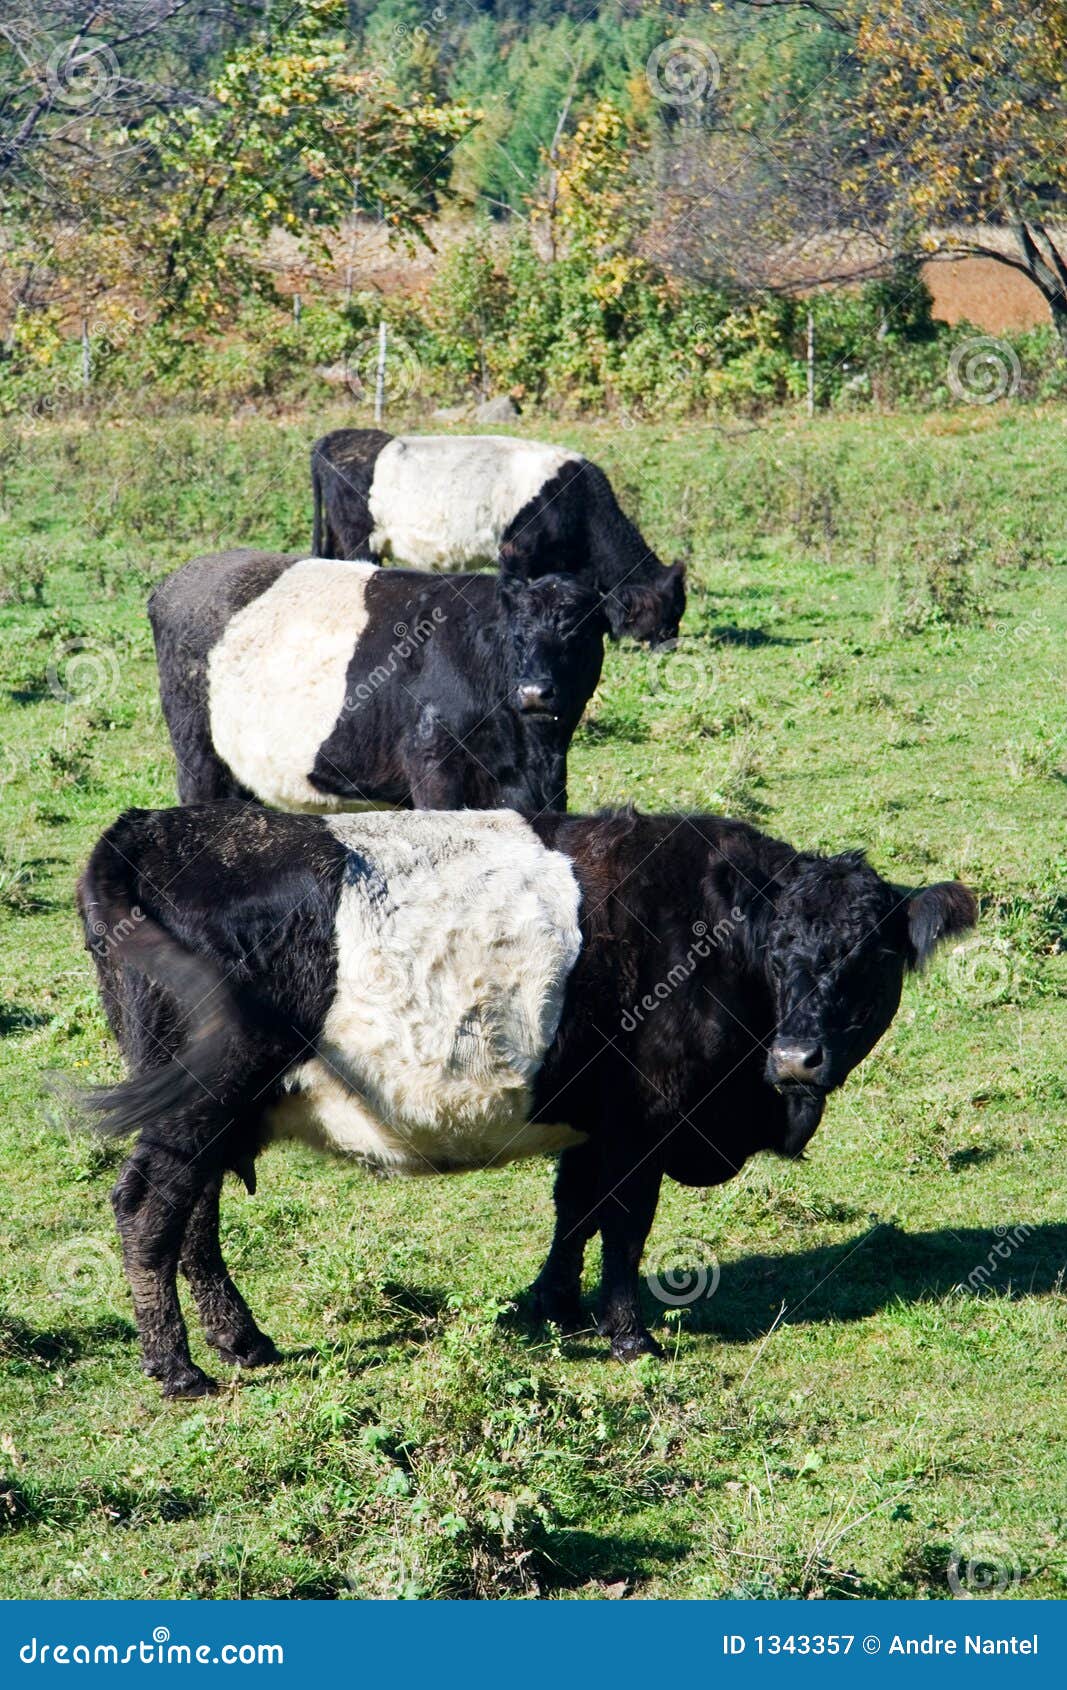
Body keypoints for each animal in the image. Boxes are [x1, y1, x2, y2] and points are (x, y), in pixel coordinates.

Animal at [78, 802, 976, 1397]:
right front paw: (627, 1335)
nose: (794, 1059)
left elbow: (573, 1210)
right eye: (779, 951)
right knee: (149, 1209)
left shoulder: (594, 1119)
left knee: (193, 1216)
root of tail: (150, 828)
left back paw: (242, 1341)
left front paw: (554, 1307)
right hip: (198, 1103)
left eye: (870, 957)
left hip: (211, 1112)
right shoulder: (644, 1121)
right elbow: (624, 1223)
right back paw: (177, 1368)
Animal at [149, 549, 607, 815]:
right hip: (196, 749)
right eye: (517, 635)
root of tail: (175, 581)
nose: (534, 692)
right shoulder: (433, 766)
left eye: (579, 633)